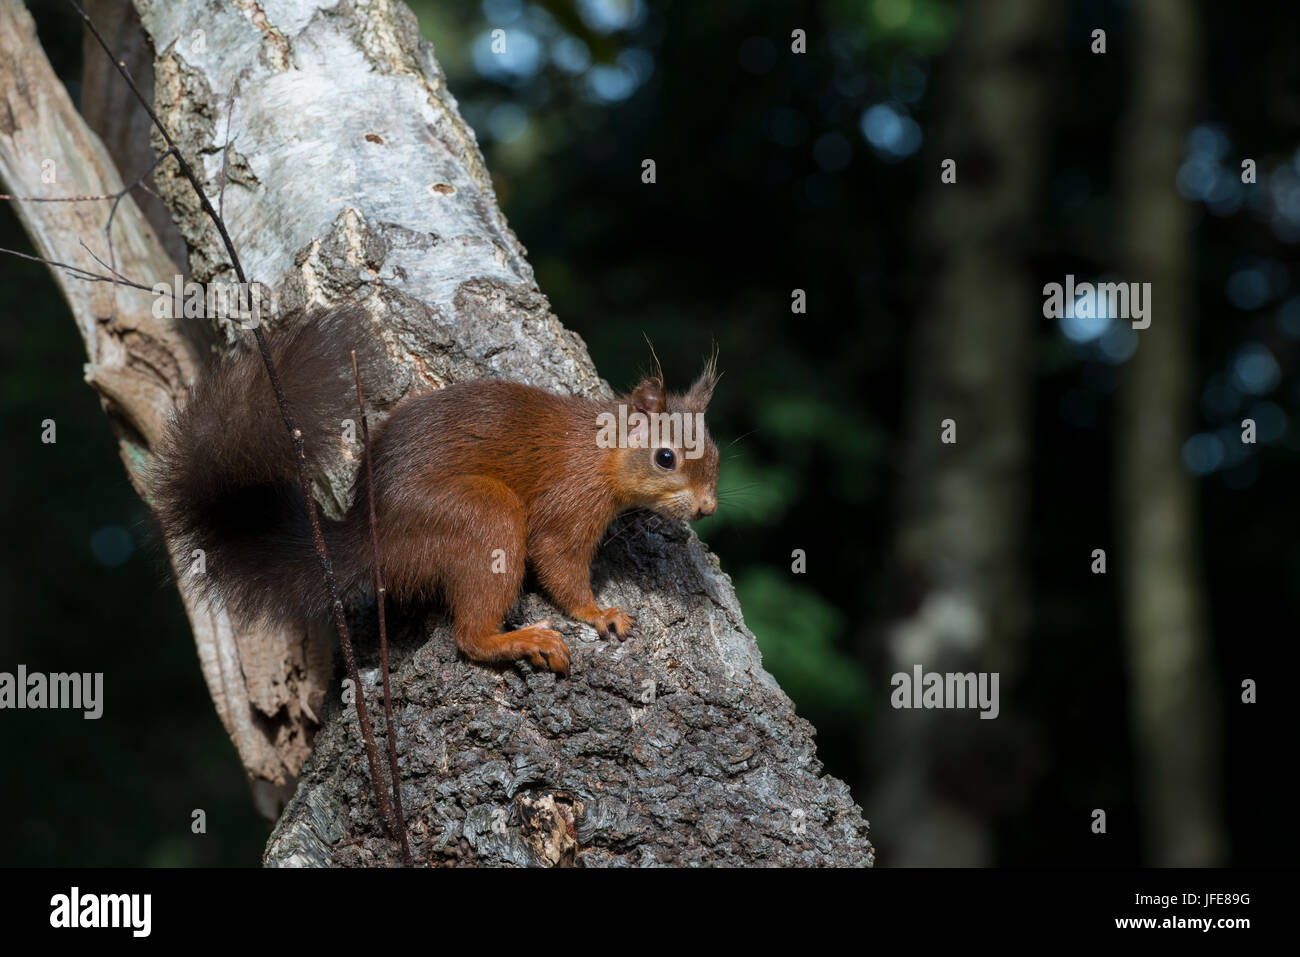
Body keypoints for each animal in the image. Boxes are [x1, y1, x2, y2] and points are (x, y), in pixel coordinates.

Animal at [152, 306, 719, 675]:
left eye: (713, 453)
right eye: (666, 457)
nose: (708, 508)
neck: (601, 452)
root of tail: (370, 540)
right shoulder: (570, 497)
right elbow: (557, 558)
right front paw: (599, 614)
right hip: (480, 516)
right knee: (469, 636)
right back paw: (518, 640)